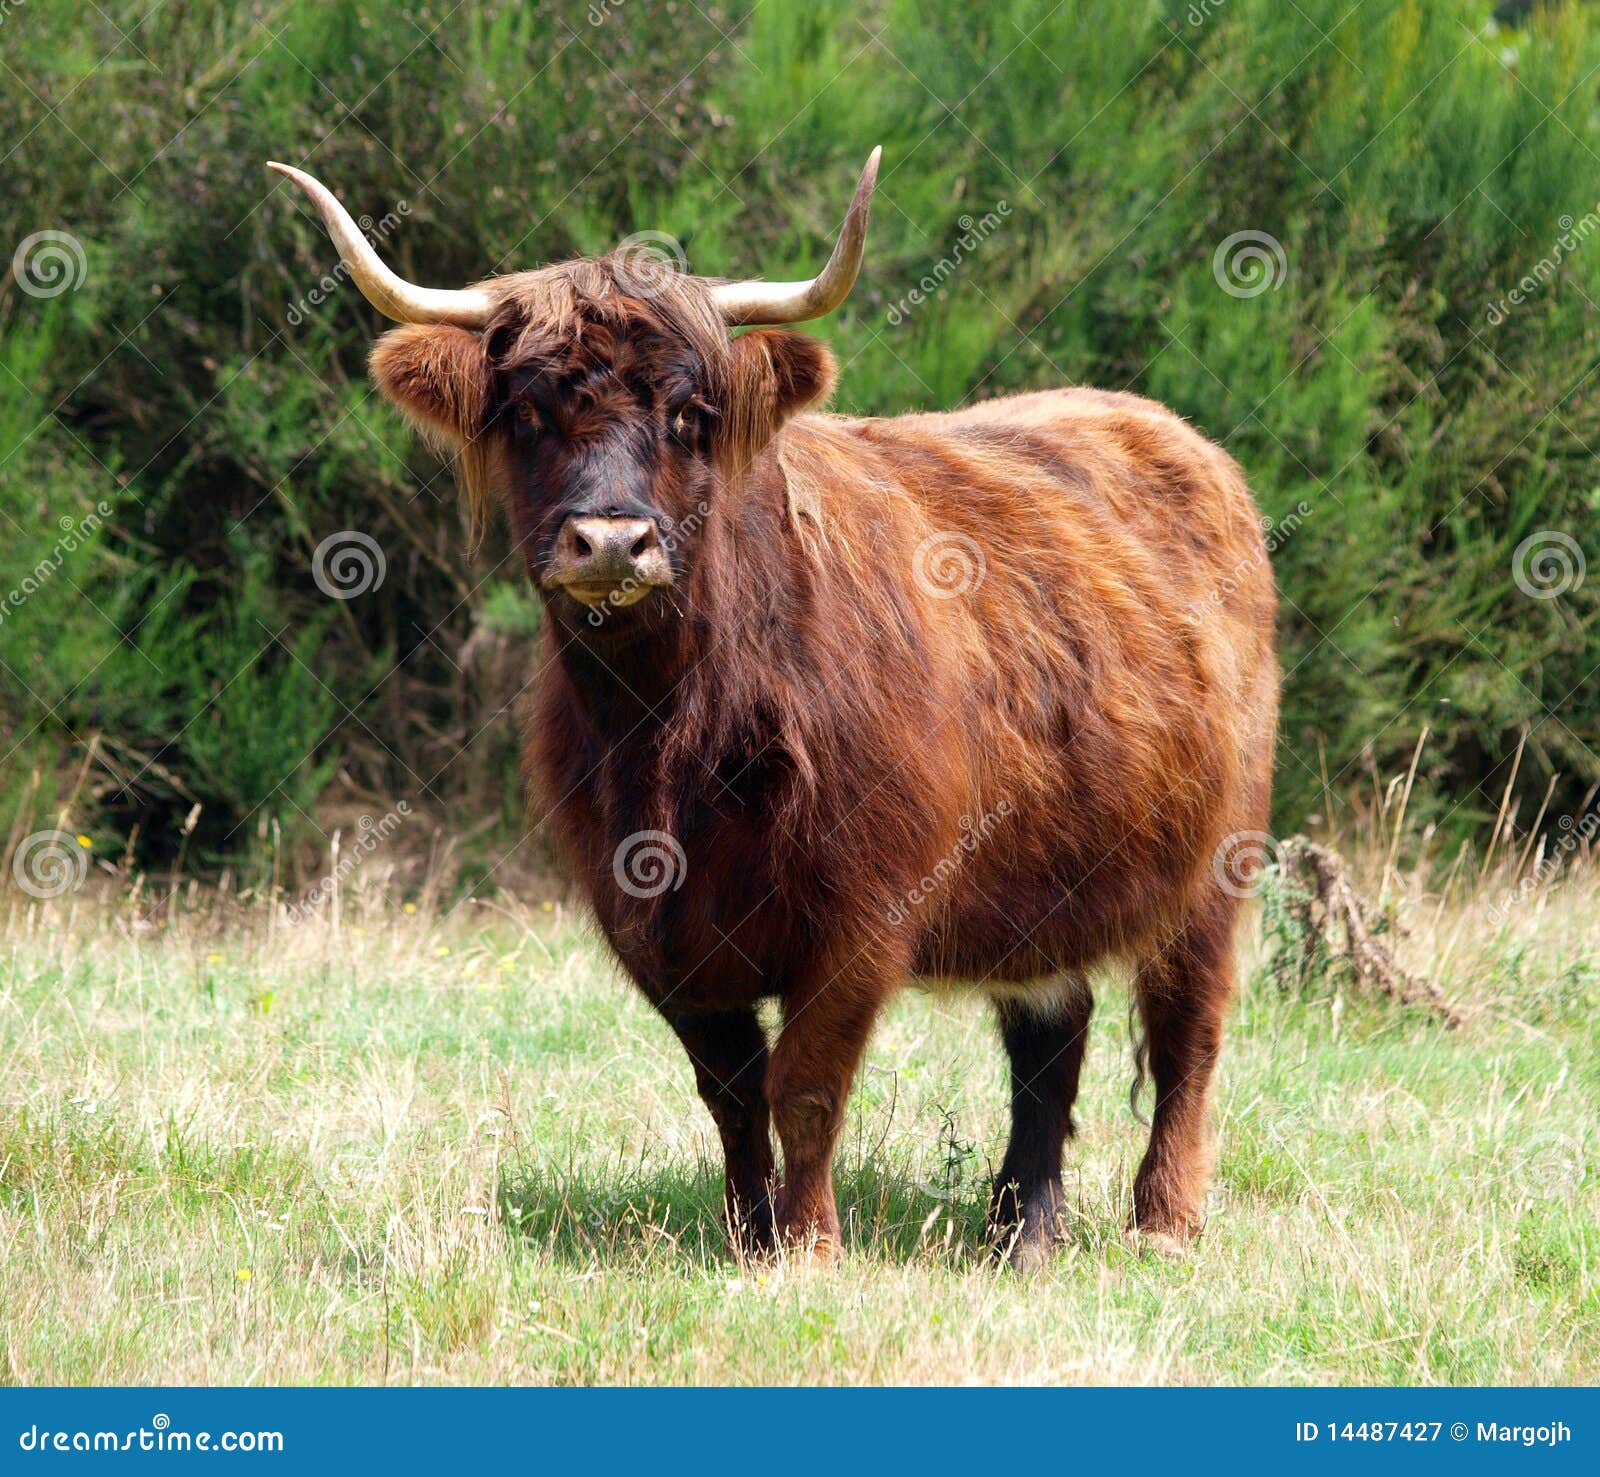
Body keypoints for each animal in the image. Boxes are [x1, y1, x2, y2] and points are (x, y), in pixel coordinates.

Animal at [269, 150, 1279, 1269]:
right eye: (528, 416)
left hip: (1216, 861)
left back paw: (1164, 1220)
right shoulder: (645, 922)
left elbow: (805, 1082)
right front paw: (747, 1234)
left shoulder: (862, 913)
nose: (611, 542)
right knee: (1050, 1035)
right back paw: (1023, 1230)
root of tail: (1166, 431)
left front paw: (807, 1246)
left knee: (1188, 1030)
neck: (670, 728)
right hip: (1048, 872)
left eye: (687, 416)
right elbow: (730, 1087)